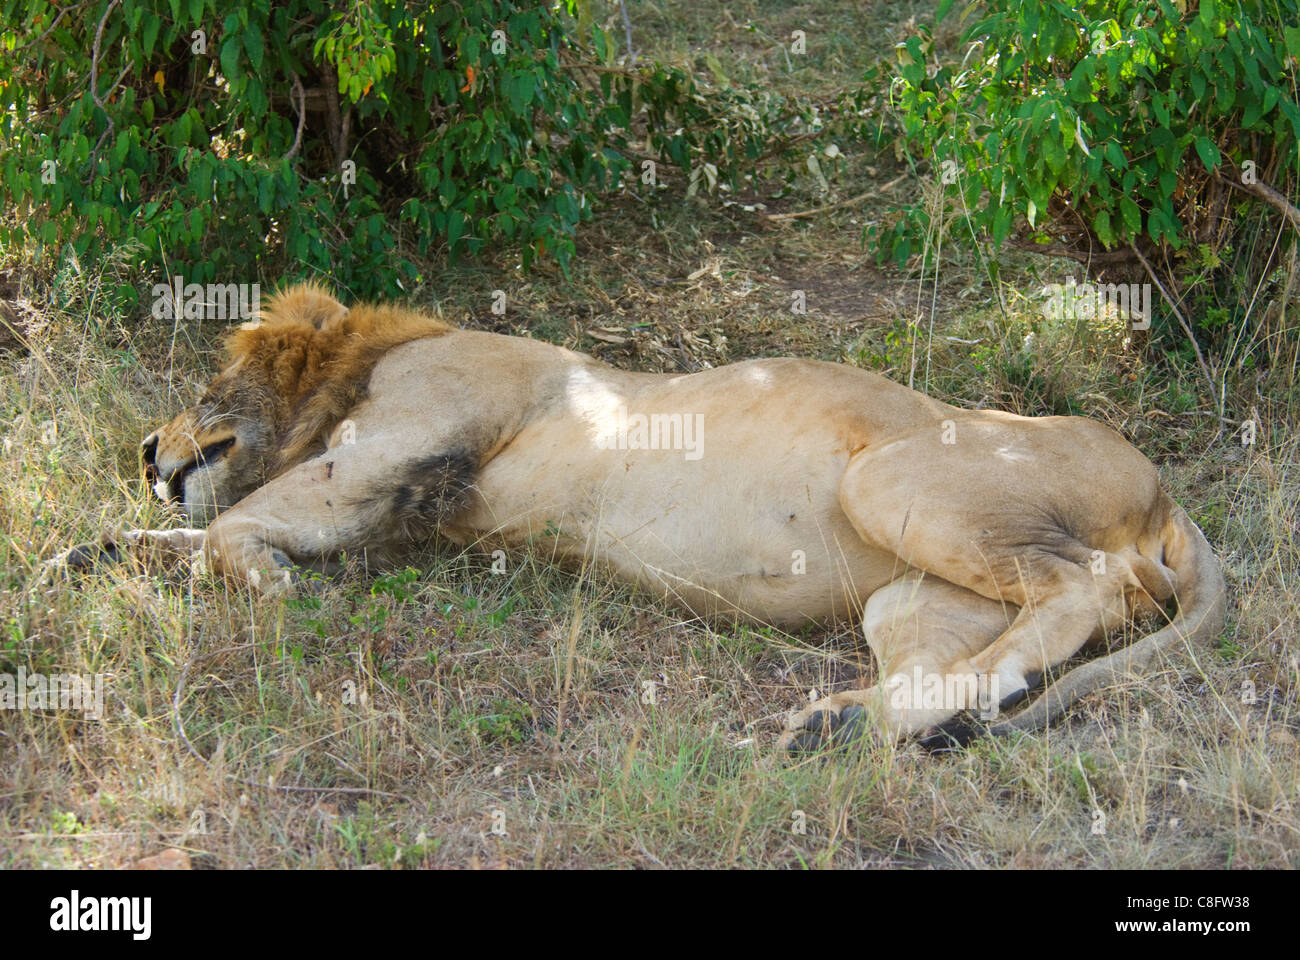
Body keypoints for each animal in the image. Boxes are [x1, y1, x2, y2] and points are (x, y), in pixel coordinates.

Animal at [60, 283, 1226, 750]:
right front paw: (95, 549)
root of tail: (1170, 498)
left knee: (1082, 587)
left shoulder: (401, 446)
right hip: (915, 598)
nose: (146, 451)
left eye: (209, 384)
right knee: (949, 668)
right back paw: (837, 725)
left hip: (900, 483)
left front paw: (270, 588)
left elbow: (231, 527)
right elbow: (196, 534)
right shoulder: (401, 511)